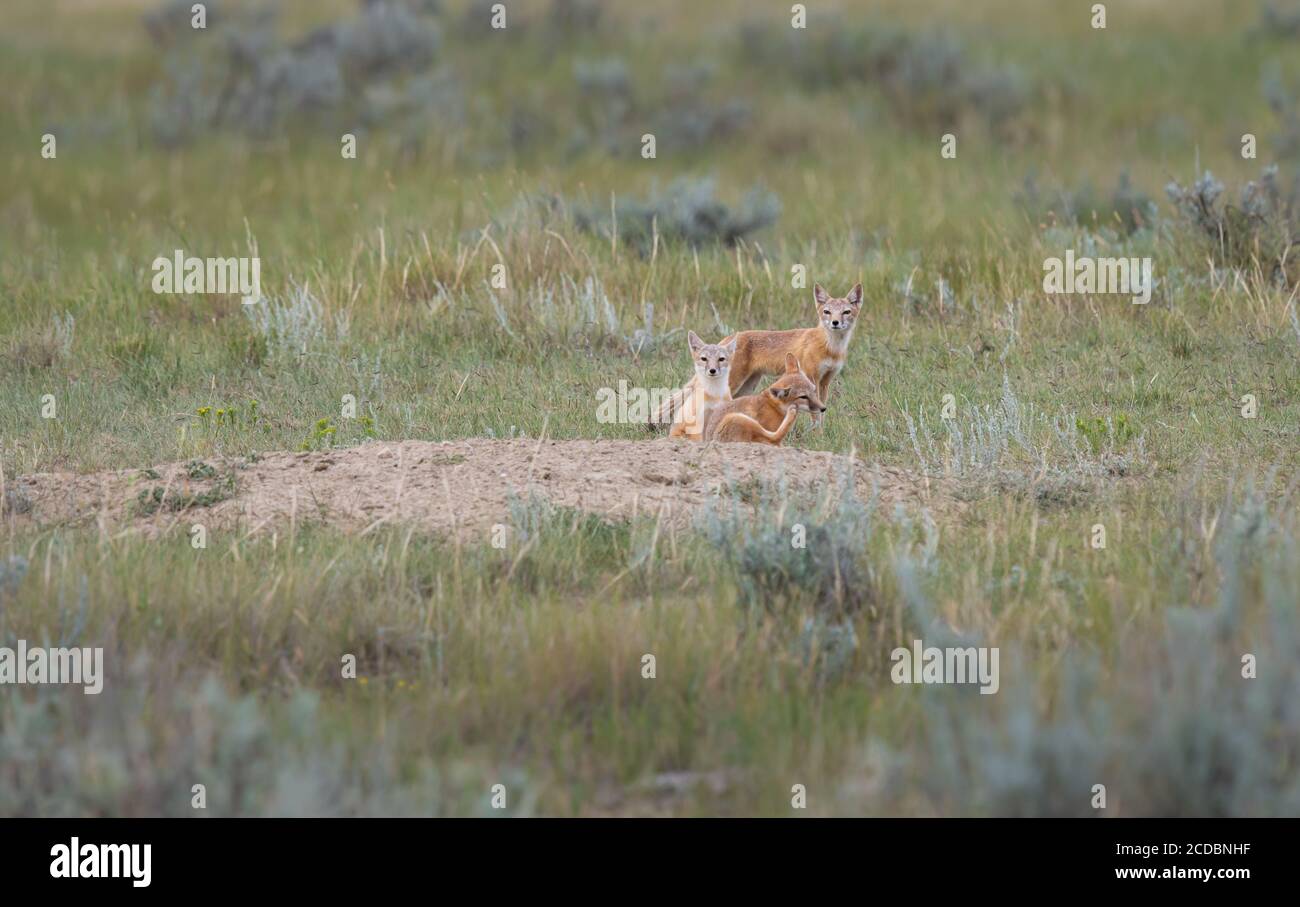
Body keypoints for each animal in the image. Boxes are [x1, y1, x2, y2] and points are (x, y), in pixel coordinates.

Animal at [652, 283, 862, 429]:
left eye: (846, 312)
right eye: (827, 312)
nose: (835, 323)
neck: (831, 347)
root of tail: (727, 339)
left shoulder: (825, 381)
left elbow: (821, 411)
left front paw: (820, 432)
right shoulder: (812, 378)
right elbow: (815, 413)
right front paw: (816, 432)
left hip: (746, 387)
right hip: (732, 384)